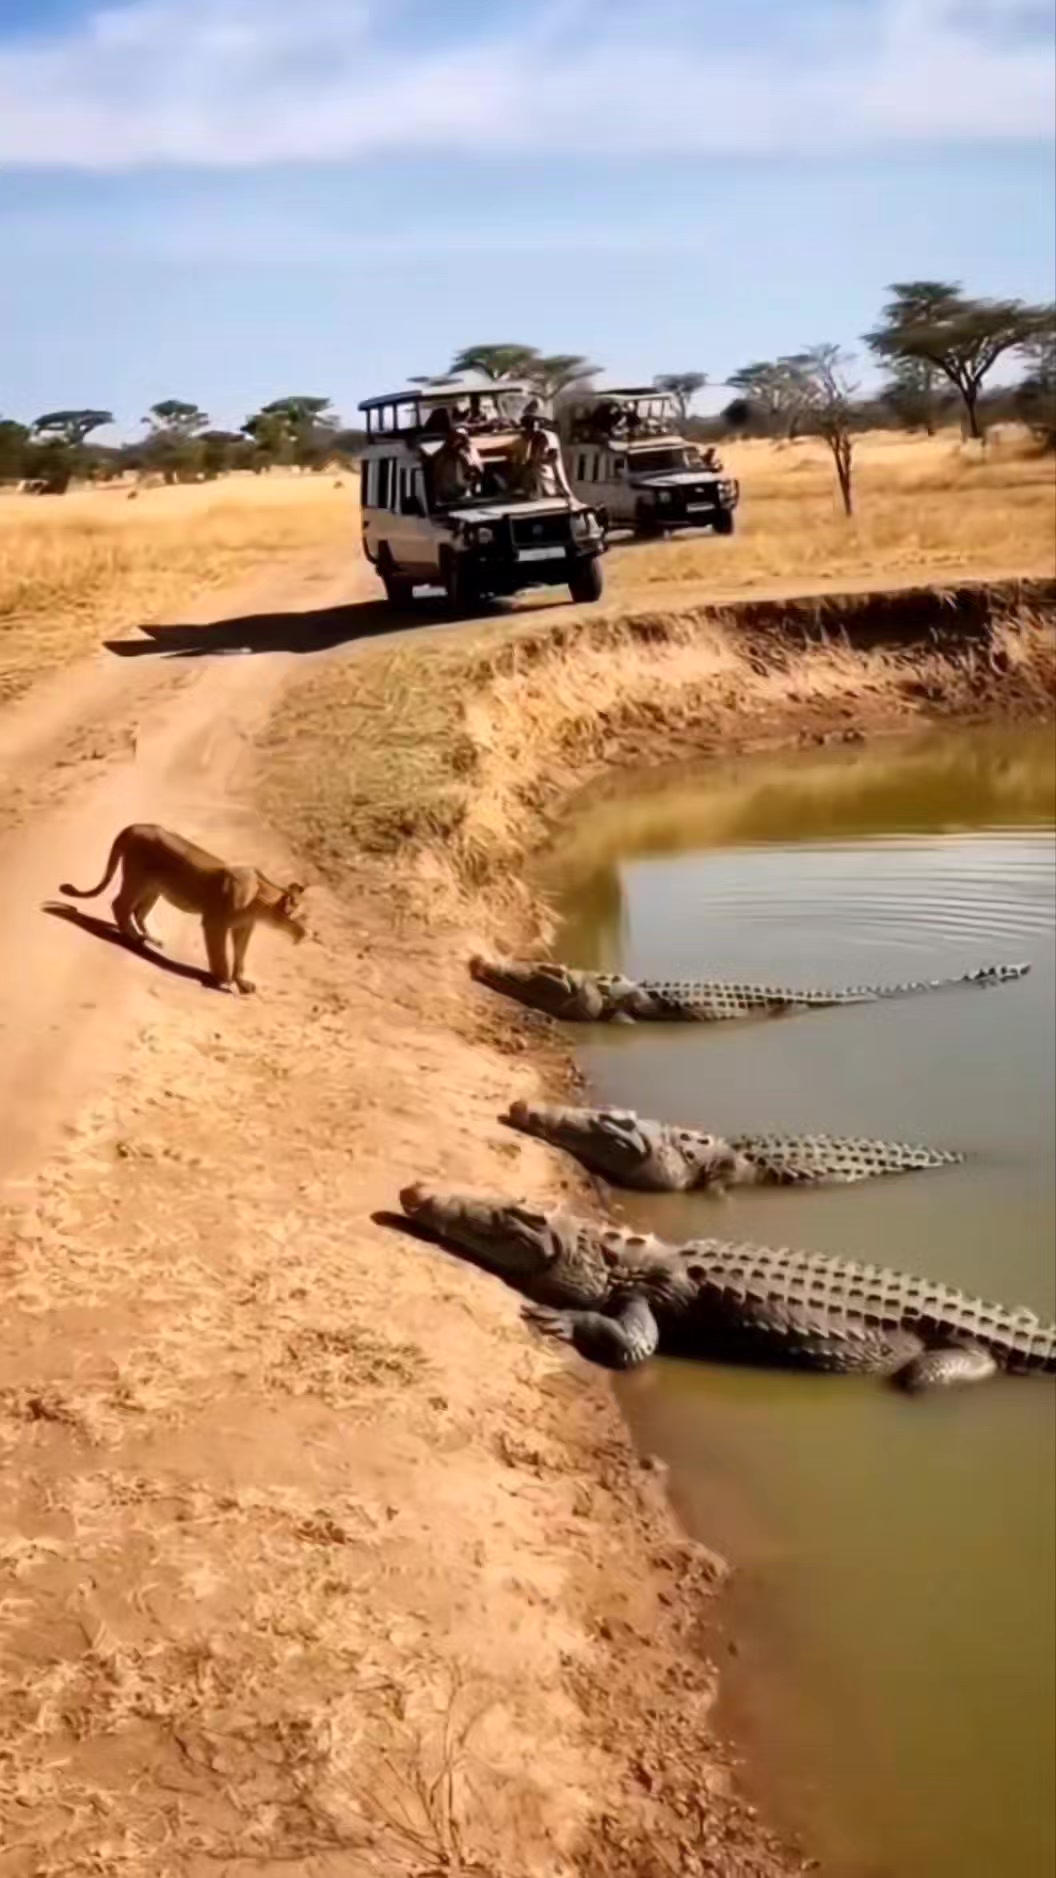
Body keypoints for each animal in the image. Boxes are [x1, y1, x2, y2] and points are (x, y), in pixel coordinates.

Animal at [60, 823, 308, 994]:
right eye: (301, 918)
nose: (308, 935)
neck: (259, 903)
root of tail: (135, 826)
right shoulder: (215, 924)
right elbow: (220, 954)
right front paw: (223, 979)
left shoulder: (244, 928)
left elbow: (240, 957)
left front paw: (242, 982)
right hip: (137, 878)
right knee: (120, 904)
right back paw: (132, 937)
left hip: (153, 887)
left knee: (138, 912)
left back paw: (151, 939)